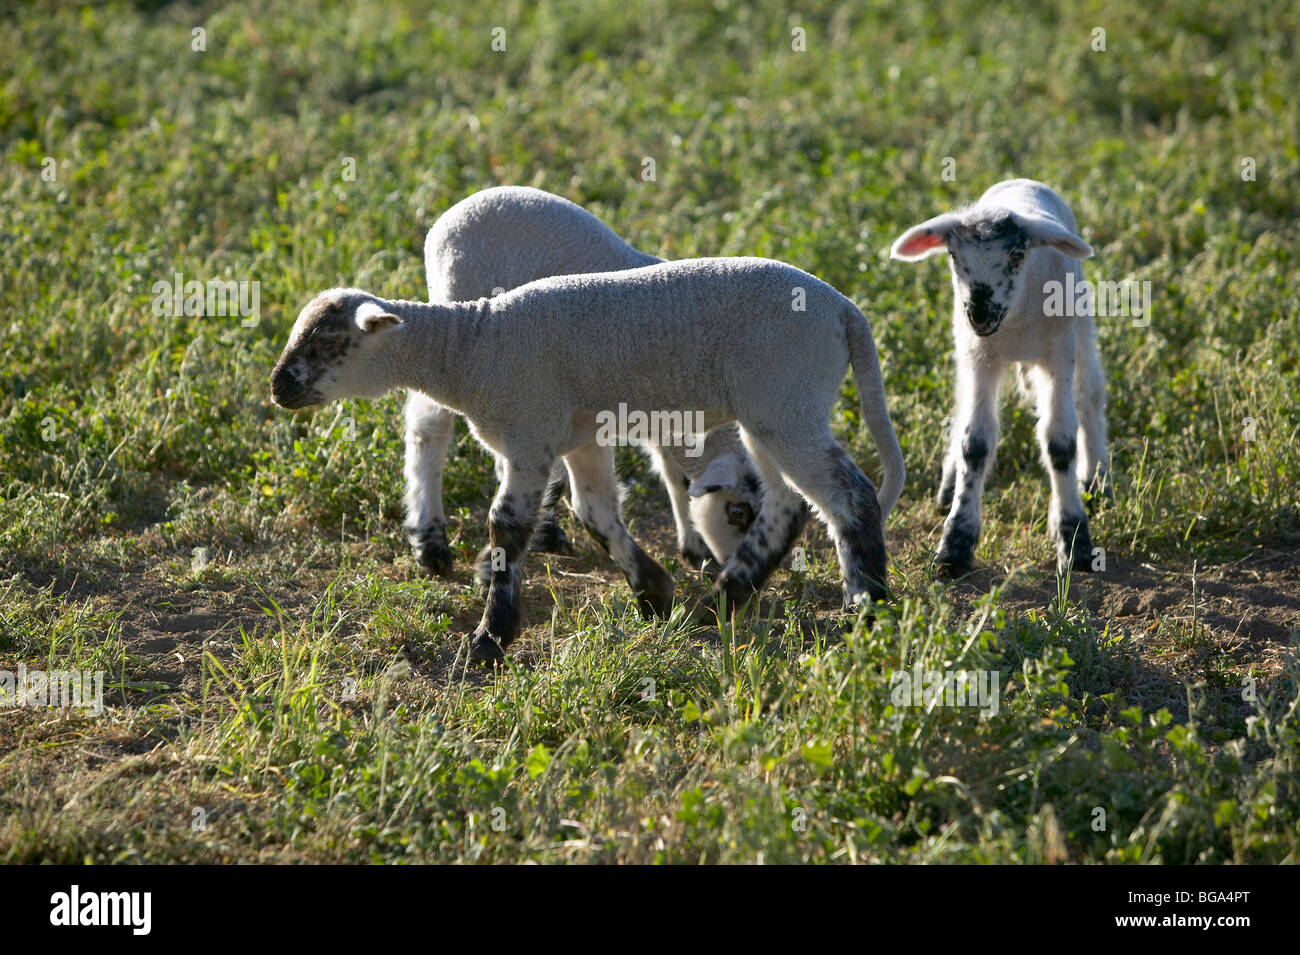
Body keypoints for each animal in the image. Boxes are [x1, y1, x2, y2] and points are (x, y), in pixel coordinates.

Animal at [271, 256, 905, 664]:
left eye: (326, 342)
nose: (278, 387)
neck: (470, 348)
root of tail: (843, 309)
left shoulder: (530, 434)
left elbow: (508, 526)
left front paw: (490, 639)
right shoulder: (578, 437)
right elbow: (594, 512)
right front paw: (654, 595)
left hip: (787, 400)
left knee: (848, 495)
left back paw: (867, 611)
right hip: (770, 412)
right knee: (788, 504)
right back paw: (725, 598)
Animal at [406, 186, 770, 577]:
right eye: (738, 512)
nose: (743, 574)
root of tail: (458, 210)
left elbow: (675, 476)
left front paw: (695, 548)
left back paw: (545, 530)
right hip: (459, 321)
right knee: (428, 422)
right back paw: (430, 542)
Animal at [890, 178, 1109, 576]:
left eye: (1017, 256)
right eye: (953, 256)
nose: (980, 312)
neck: (1015, 325)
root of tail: (1023, 181)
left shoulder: (1058, 355)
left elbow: (1059, 442)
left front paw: (1076, 543)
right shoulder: (980, 356)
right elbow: (974, 442)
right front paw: (954, 547)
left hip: (1080, 325)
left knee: (1090, 396)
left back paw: (1099, 482)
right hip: (964, 343)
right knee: (962, 404)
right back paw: (949, 485)